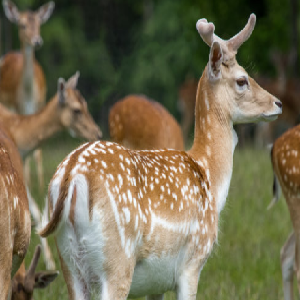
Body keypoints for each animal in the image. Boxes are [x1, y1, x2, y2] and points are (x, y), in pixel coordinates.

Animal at [1, 0, 55, 195]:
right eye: (22, 24)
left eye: (39, 24)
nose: (37, 41)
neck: (28, 94)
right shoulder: (17, 107)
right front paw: (28, 182)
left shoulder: (40, 103)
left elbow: (37, 148)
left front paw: (40, 185)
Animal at [37, 12, 282, 298]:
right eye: (242, 79)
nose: (277, 103)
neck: (208, 174)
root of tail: (71, 174)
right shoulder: (192, 262)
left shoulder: (157, 282)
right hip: (116, 261)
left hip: (69, 261)